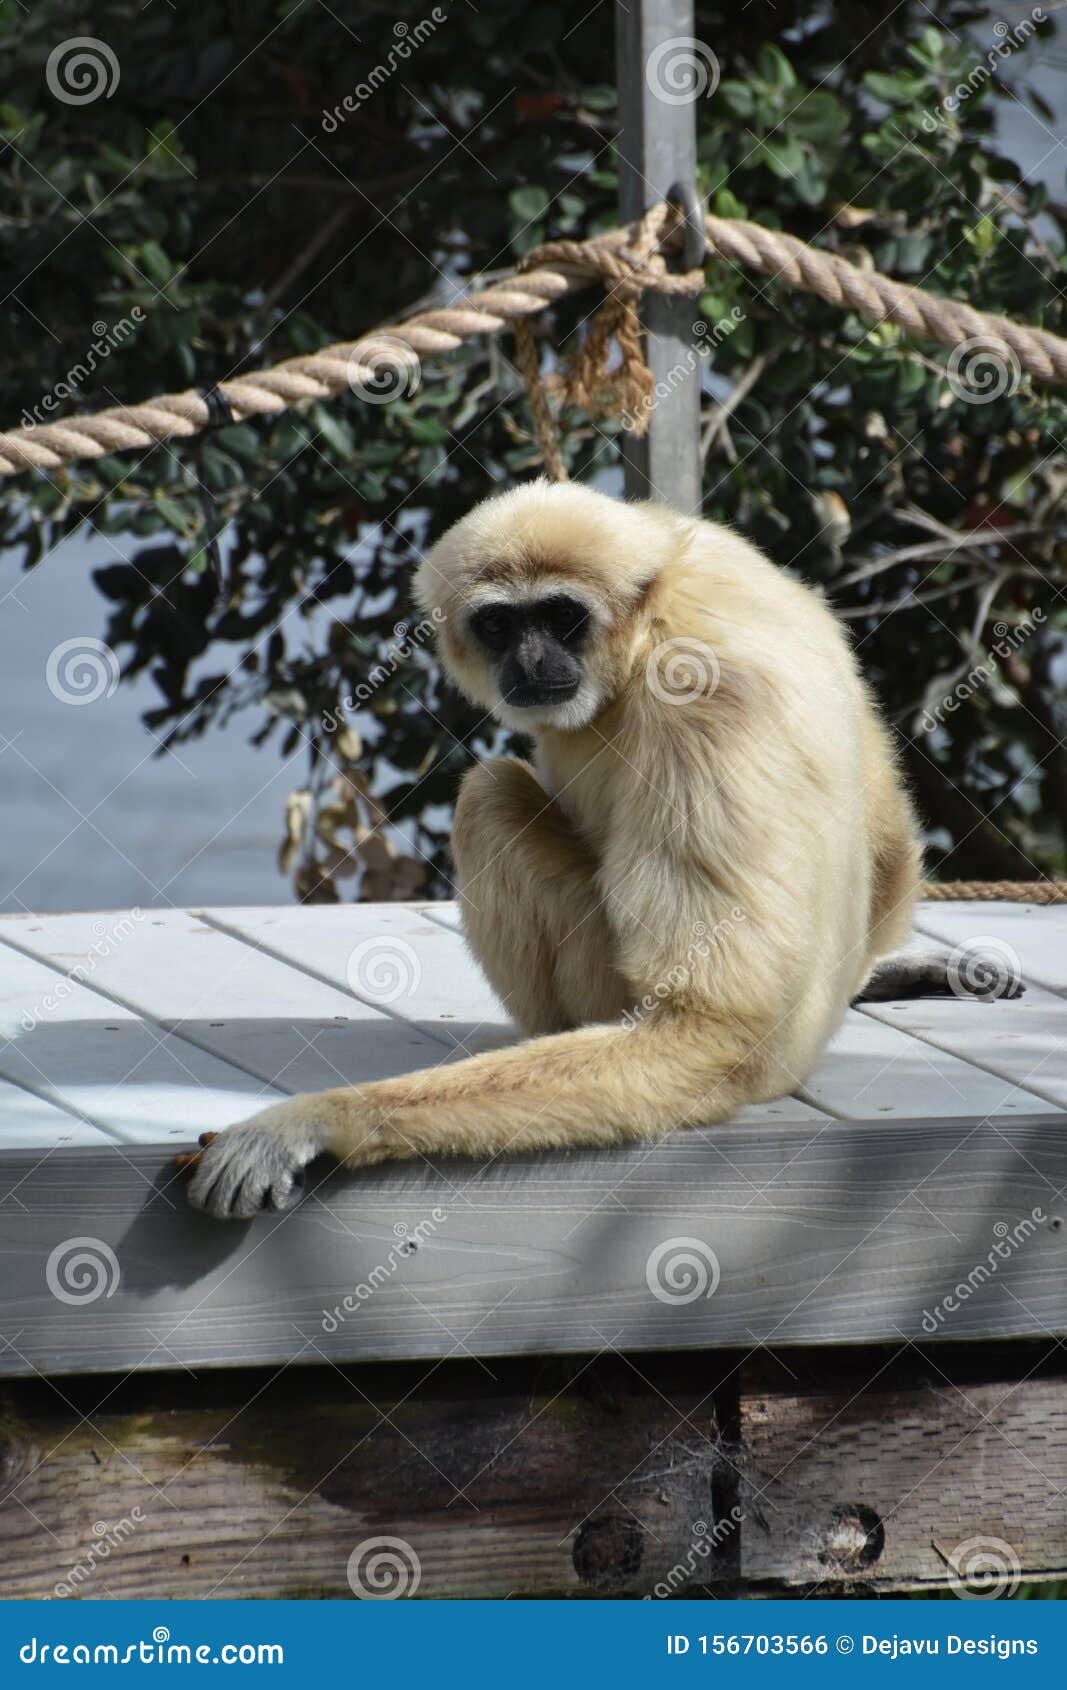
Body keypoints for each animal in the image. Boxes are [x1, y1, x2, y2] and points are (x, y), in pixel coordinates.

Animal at [182, 478, 1019, 1220]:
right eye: (498, 625)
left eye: (560, 616)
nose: (529, 659)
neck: (659, 611)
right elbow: (888, 842)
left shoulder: (699, 702)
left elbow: (709, 1025)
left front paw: (322, 1117)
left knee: (489, 793)